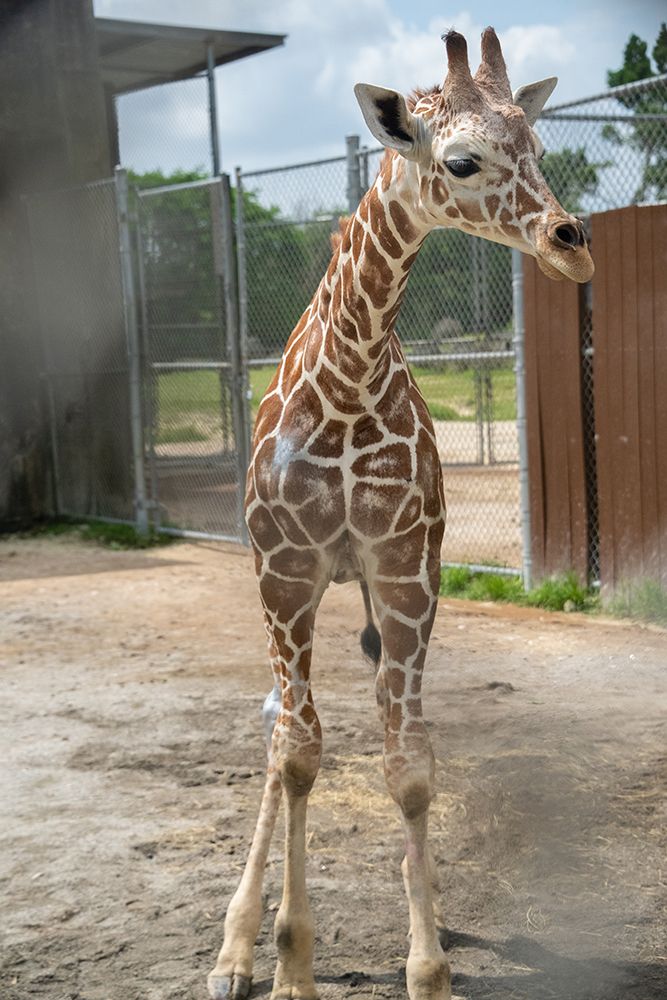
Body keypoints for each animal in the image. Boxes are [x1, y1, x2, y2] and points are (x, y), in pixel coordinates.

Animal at [208, 27, 593, 1000]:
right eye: (459, 160)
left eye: (534, 147)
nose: (570, 243)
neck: (348, 382)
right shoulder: (285, 574)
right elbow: (300, 756)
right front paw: (291, 962)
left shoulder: (407, 573)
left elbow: (409, 768)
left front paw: (426, 964)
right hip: (288, 593)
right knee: (277, 732)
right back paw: (233, 951)